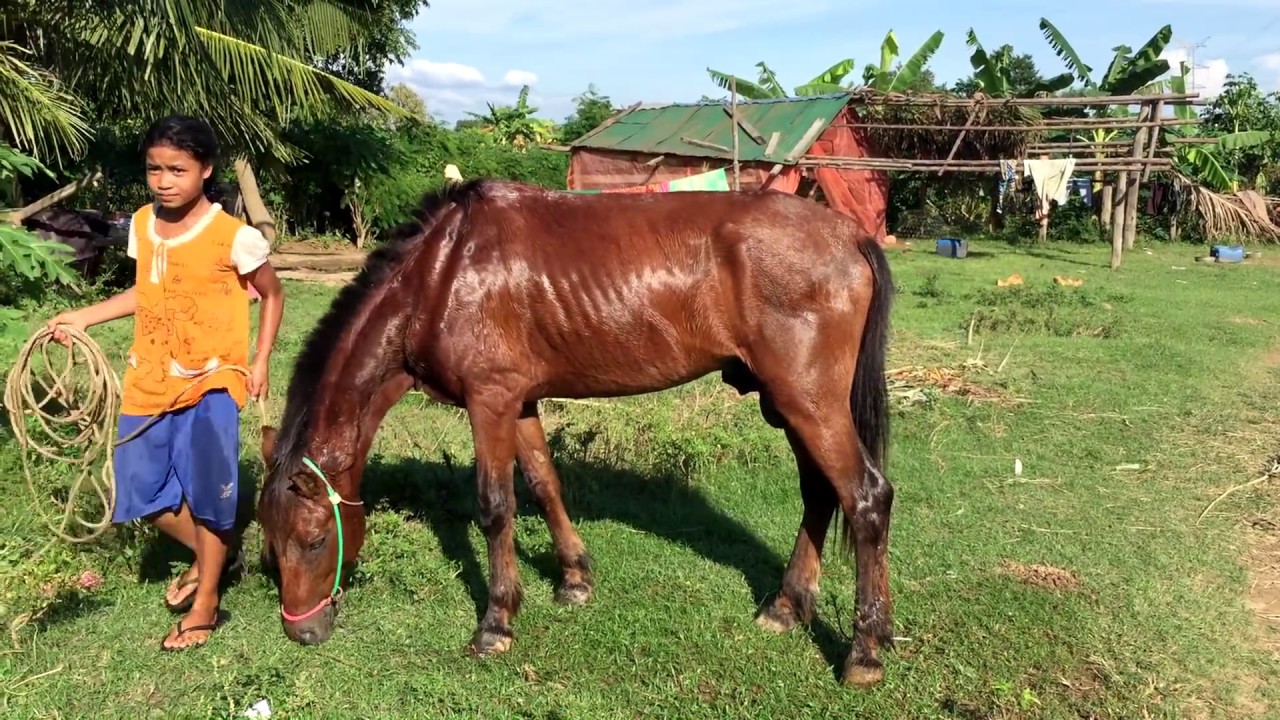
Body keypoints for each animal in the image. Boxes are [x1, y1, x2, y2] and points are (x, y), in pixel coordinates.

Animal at [256, 178, 897, 687]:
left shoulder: (489, 400)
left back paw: (864, 652)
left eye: (314, 540)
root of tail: (849, 235)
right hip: (786, 404)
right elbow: (544, 484)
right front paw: (573, 580)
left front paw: (496, 623)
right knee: (820, 495)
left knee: (866, 498)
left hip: (808, 401)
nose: (302, 632)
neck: (440, 276)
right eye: (269, 539)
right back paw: (787, 608)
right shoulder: (519, 402)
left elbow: (495, 506)